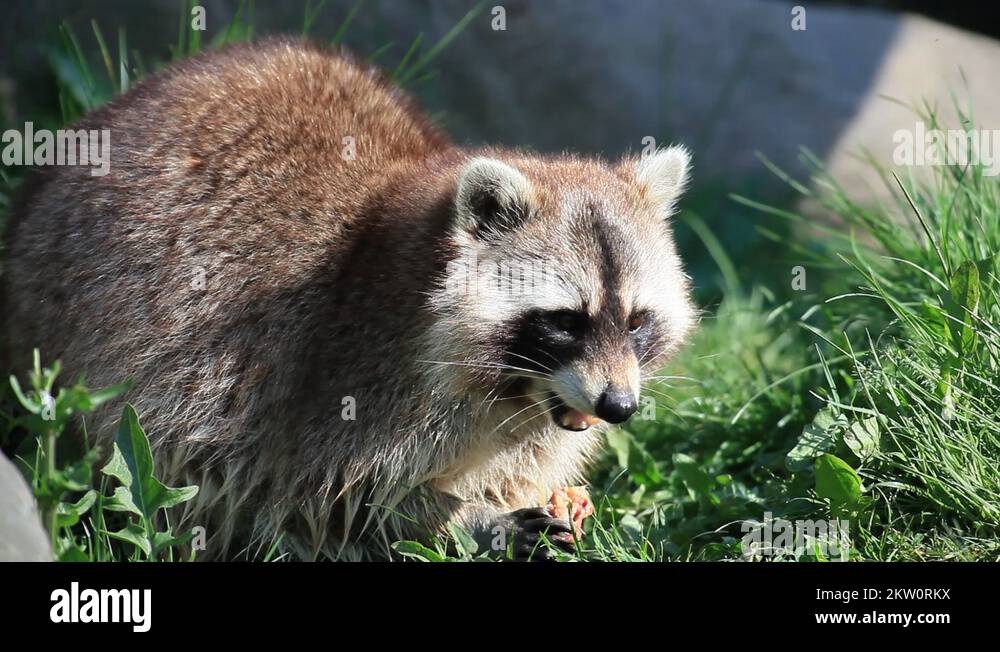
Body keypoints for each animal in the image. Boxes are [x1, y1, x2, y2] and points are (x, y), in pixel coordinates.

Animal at [2, 39, 696, 560]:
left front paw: (508, 504)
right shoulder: (325, 366)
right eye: (564, 321)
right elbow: (320, 494)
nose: (620, 406)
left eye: (637, 322)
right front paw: (465, 519)